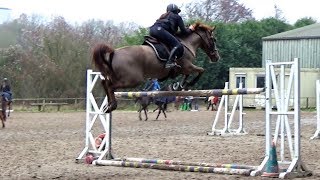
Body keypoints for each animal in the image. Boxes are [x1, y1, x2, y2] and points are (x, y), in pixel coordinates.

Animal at [91, 21, 219, 113]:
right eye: (213, 39)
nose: (216, 57)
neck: (186, 43)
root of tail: (113, 53)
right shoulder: (186, 66)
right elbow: (201, 70)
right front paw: (189, 83)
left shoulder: (183, 69)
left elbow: (186, 76)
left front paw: (179, 86)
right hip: (132, 80)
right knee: (110, 86)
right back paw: (112, 106)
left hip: (118, 77)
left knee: (105, 83)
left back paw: (108, 106)